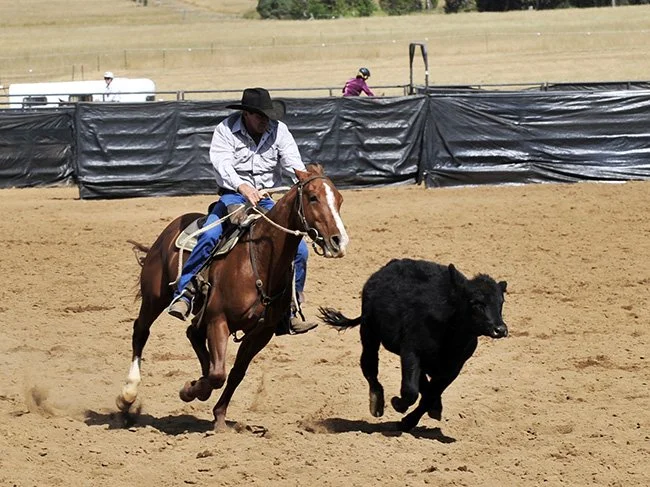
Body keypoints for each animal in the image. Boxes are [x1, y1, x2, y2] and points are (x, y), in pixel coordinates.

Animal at [116, 164, 349, 430]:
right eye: (312, 197)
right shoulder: (219, 321)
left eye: (339, 199)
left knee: (192, 334)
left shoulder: (261, 332)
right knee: (141, 330)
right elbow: (219, 374)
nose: (338, 242)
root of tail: (169, 231)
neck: (259, 259)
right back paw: (128, 394)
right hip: (155, 297)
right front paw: (190, 390)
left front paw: (217, 415)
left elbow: (235, 372)